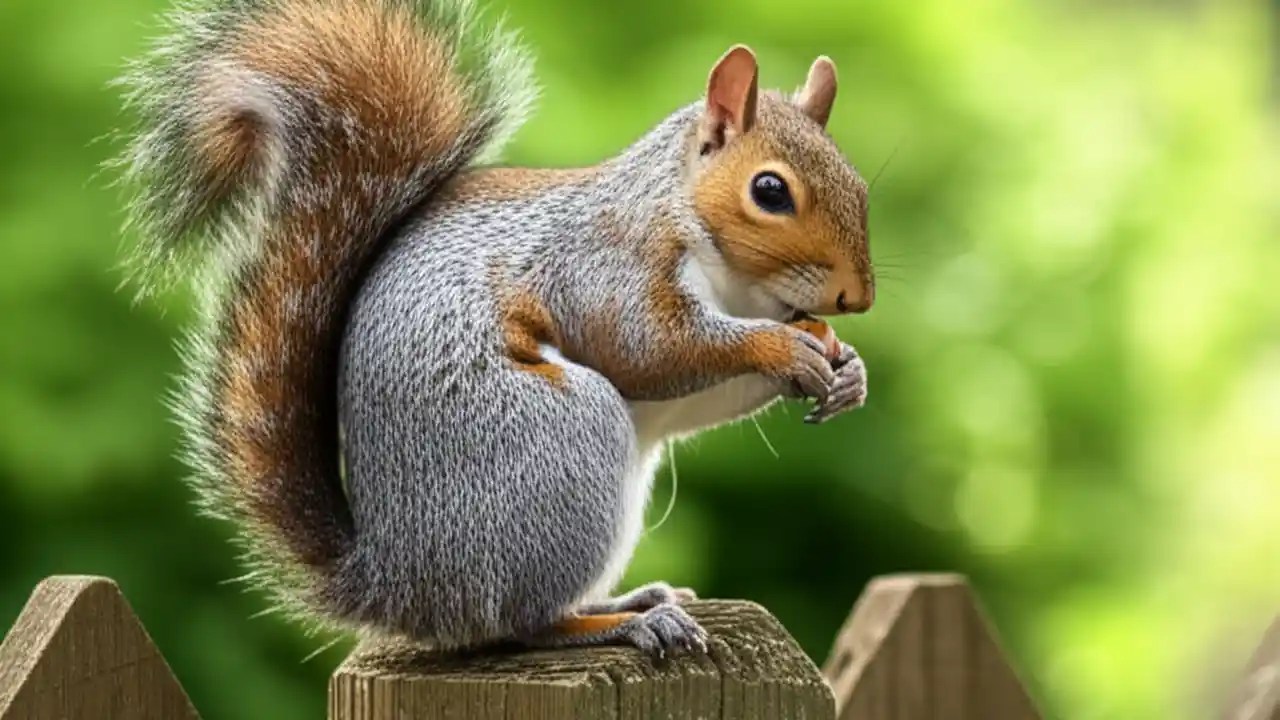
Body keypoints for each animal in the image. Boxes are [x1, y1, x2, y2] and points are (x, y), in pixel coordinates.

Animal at [117, 0, 873, 657]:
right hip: (562, 442)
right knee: (520, 623)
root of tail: (401, 588)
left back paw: (629, 600)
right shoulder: (604, 266)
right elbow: (650, 348)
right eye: (769, 191)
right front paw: (783, 346)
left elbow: (700, 394)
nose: (856, 298)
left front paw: (845, 366)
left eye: (861, 187)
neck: (736, 283)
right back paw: (624, 624)